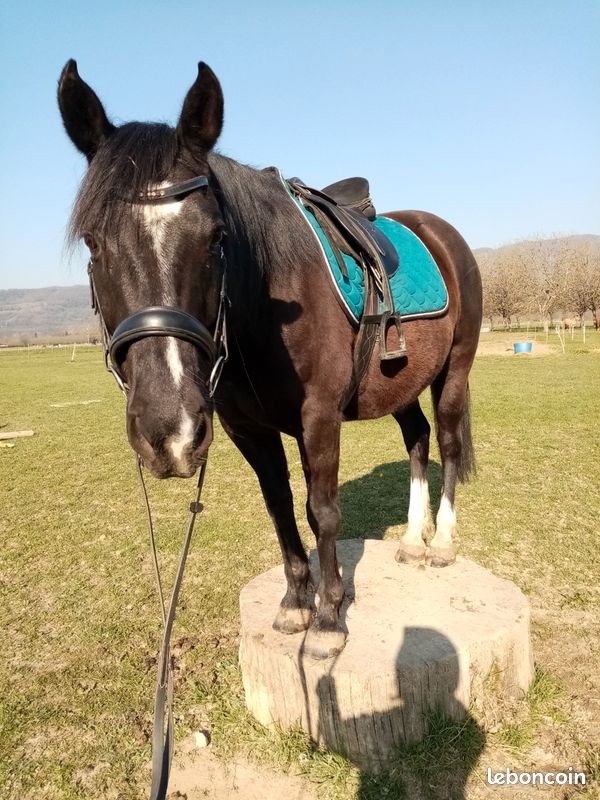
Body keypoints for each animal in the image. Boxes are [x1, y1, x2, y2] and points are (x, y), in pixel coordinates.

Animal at [58, 60, 482, 661]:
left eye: (217, 238)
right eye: (94, 243)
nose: (169, 432)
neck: (262, 311)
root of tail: (439, 230)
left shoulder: (318, 419)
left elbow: (321, 510)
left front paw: (328, 617)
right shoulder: (246, 429)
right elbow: (280, 506)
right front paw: (296, 602)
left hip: (454, 370)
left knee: (445, 440)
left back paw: (441, 543)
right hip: (398, 384)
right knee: (418, 438)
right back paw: (410, 541)